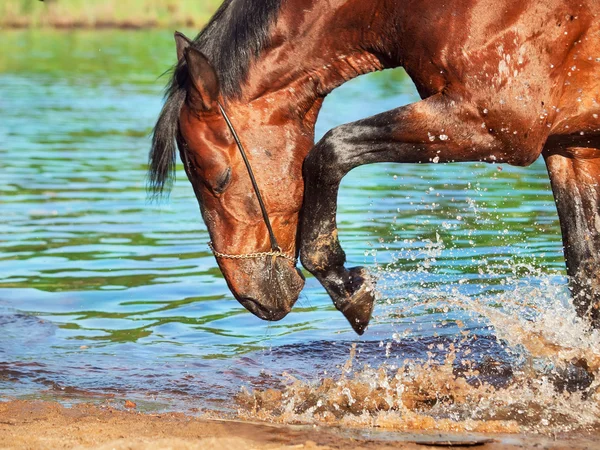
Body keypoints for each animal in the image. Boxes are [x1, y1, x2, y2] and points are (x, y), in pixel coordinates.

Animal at [151, 0, 600, 334]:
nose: (251, 298)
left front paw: (346, 285)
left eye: (218, 178)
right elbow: (586, 278)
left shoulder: (495, 124)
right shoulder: (571, 149)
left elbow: (329, 151)